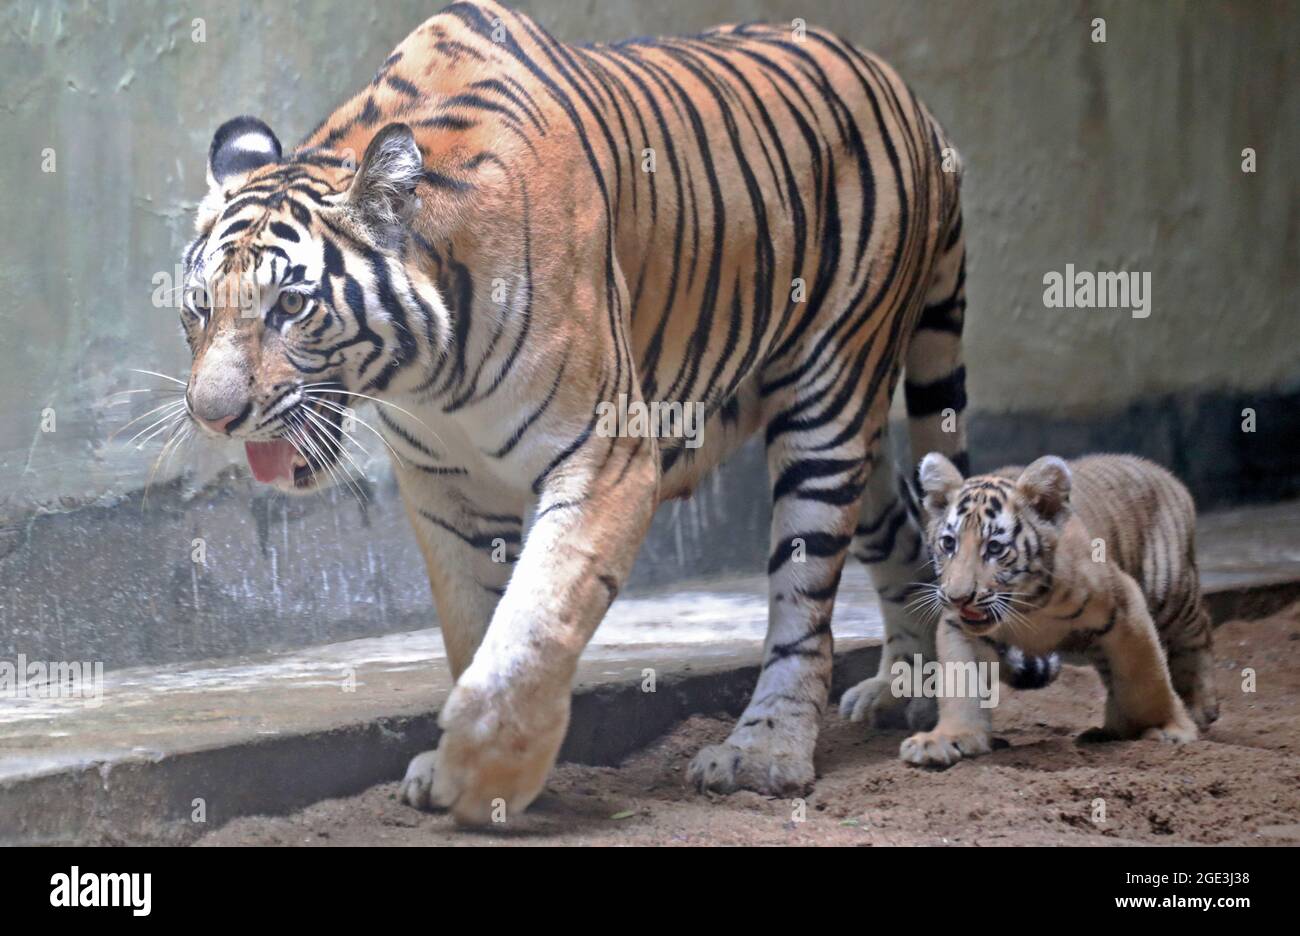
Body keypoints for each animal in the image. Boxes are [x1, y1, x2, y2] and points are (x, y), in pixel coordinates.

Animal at [173, 0, 1030, 825]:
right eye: (197, 308)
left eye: (290, 306)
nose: (213, 415)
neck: (424, 372)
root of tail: (912, 98)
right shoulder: (442, 484)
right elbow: (474, 626)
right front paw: (474, 768)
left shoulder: (605, 454)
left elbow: (533, 624)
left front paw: (485, 771)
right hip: (857, 433)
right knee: (901, 532)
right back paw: (905, 690)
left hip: (832, 393)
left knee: (805, 604)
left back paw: (764, 754)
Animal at [899, 452, 1218, 768]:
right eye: (948, 543)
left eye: (994, 548)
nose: (959, 597)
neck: (1024, 607)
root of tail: (1162, 471)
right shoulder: (958, 627)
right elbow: (960, 685)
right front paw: (946, 739)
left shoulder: (1125, 604)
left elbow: (1146, 677)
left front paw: (1166, 728)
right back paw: (1108, 731)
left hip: (1172, 593)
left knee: (1197, 634)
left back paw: (1199, 708)